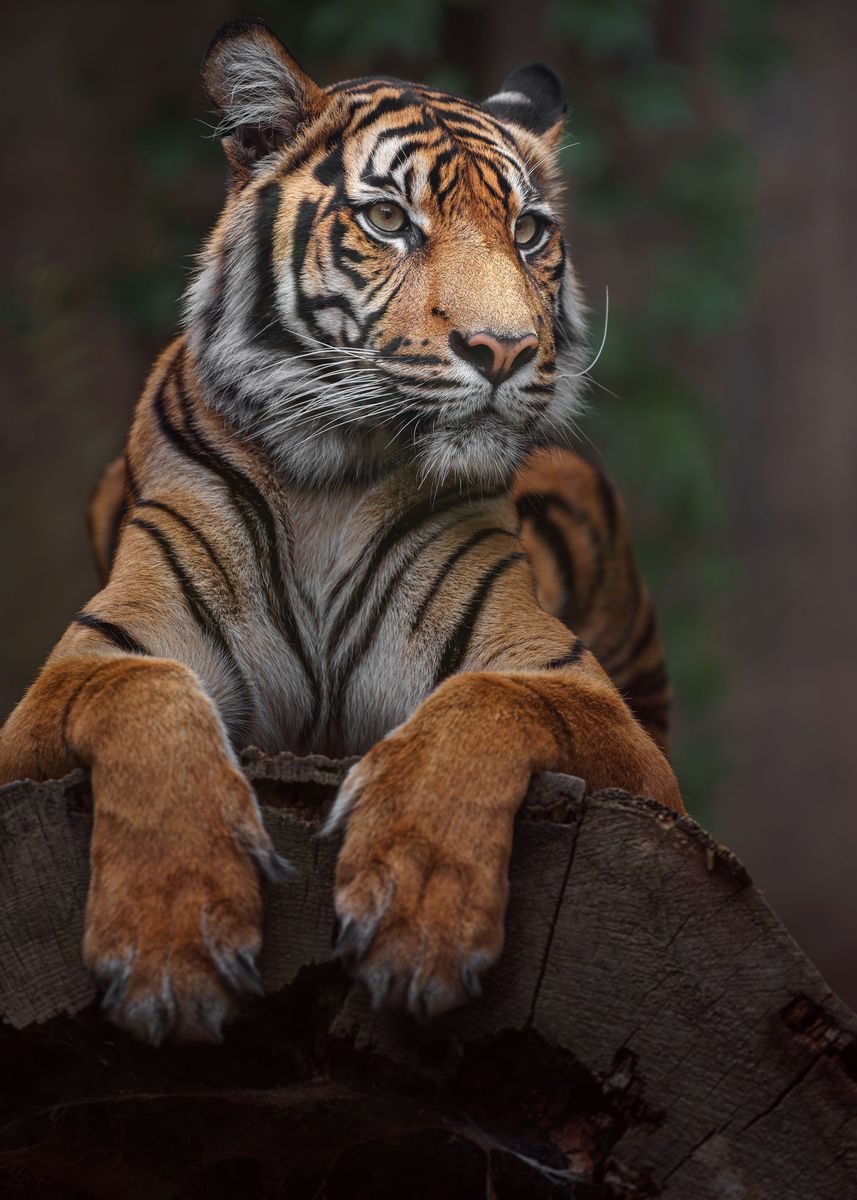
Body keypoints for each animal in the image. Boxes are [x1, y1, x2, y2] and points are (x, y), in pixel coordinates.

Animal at [0, 18, 680, 1045]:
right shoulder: (78, 670)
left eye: (527, 232)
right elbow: (145, 691)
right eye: (390, 220)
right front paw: (170, 945)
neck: (330, 476)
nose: (507, 349)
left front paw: (418, 915)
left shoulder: (591, 705)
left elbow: (486, 701)